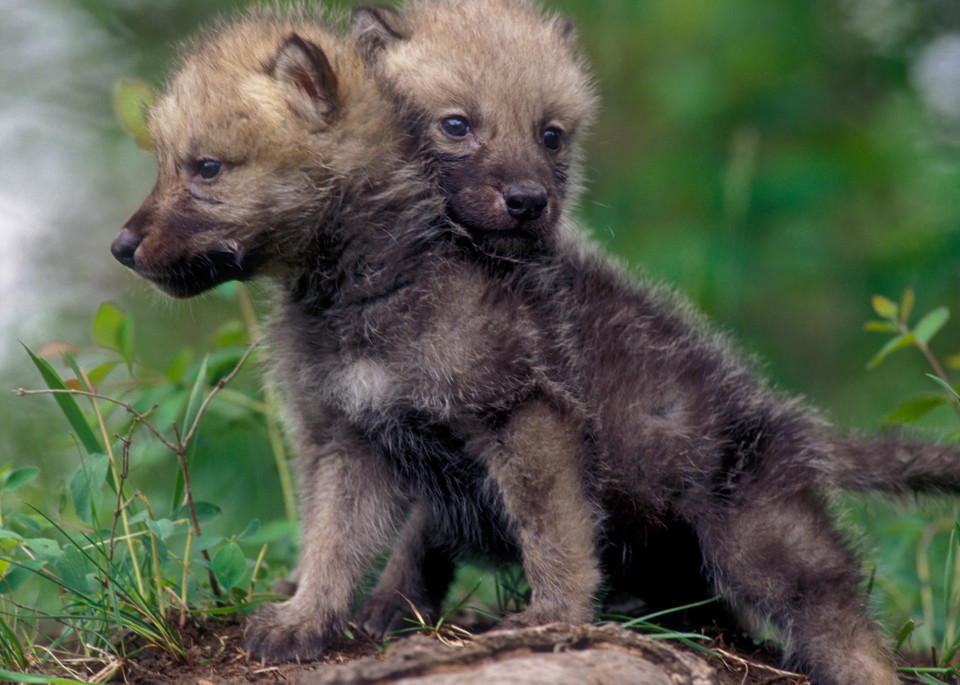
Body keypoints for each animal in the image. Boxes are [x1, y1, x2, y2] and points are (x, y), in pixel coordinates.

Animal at [109, 7, 960, 684]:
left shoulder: (523, 411)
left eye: (206, 168)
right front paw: (304, 618)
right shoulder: (353, 433)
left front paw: (551, 616)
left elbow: (553, 529)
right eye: (166, 164)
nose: (121, 246)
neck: (374, 277)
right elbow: (334, 542)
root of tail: (790, 423)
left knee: (841, 621)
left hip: (762, 537)